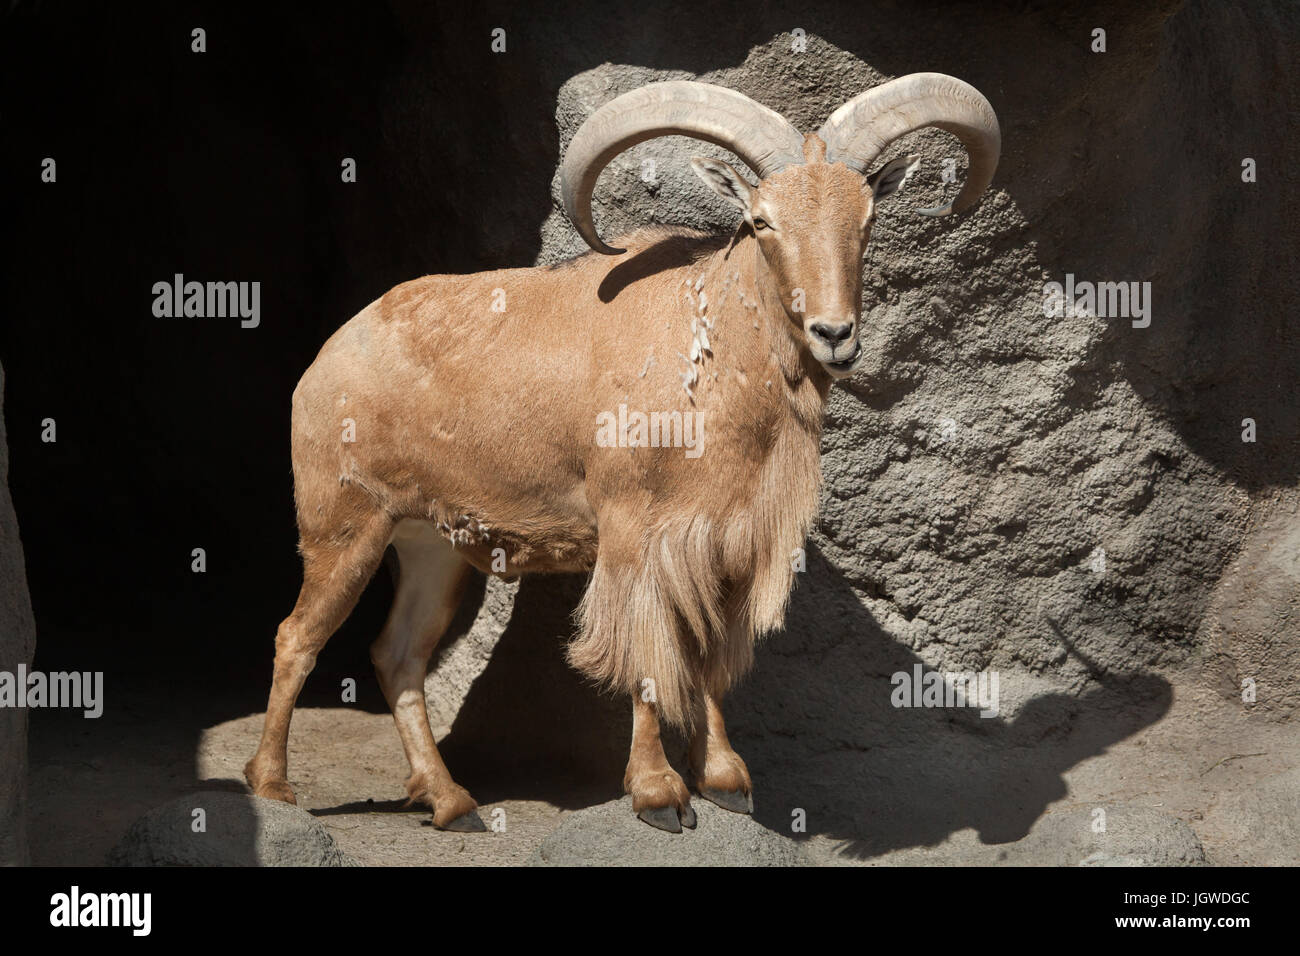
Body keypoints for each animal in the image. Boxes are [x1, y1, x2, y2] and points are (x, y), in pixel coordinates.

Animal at [244, 74, 1000, 832]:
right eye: (762, 222)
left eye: (866, 221)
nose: (835, 333)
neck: (712, 355)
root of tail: (326, 360)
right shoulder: (635, 533)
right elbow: (647, 659)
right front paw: (659, 794)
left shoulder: (721, 542)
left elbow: (706, 659)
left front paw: (725, 780)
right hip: (346, 526)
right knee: (296, 638)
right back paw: (272, 786)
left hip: (430, 542)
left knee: (397, 655)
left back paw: (450, 800)